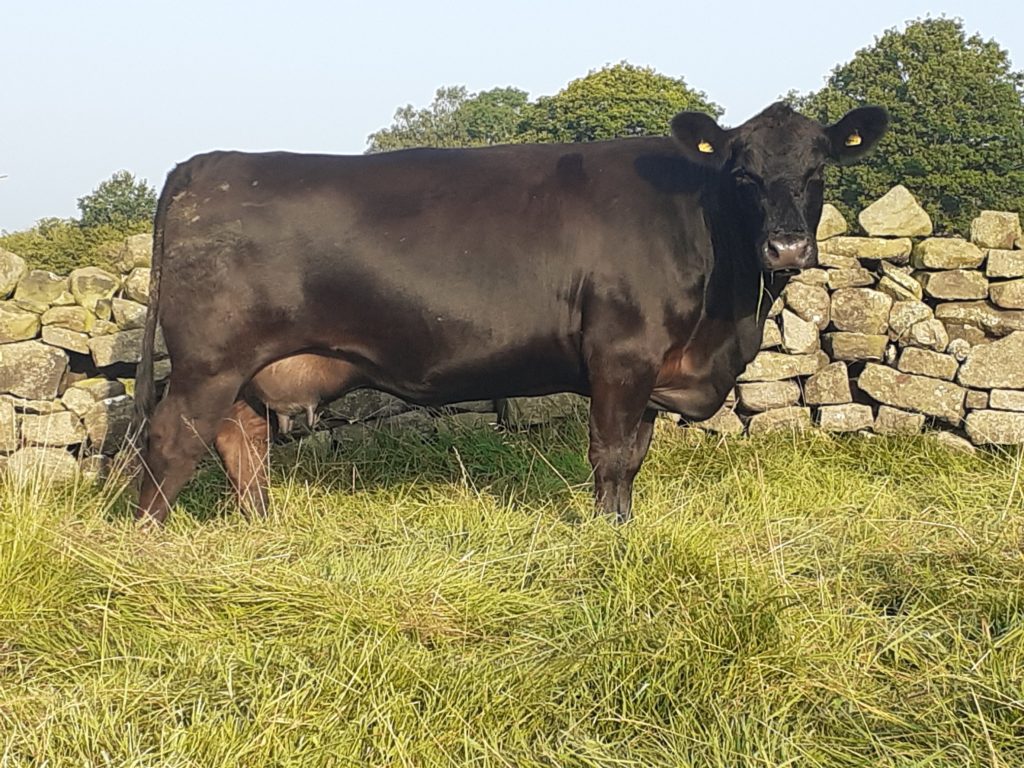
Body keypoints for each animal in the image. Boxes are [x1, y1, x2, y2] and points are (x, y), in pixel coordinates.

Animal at [134, 102, 888, 523]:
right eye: (742, 172)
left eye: (819, 169)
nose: (786, 245)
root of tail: (203, 165)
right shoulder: (622, 353)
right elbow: (611, 454)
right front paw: (608, 537)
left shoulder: (651, 369)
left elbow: (635, 458)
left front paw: (625, 525)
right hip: (209, 363)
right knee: (172, 441)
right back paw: (147, 542)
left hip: (243, 370)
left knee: (241, 443)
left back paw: (262, 529)